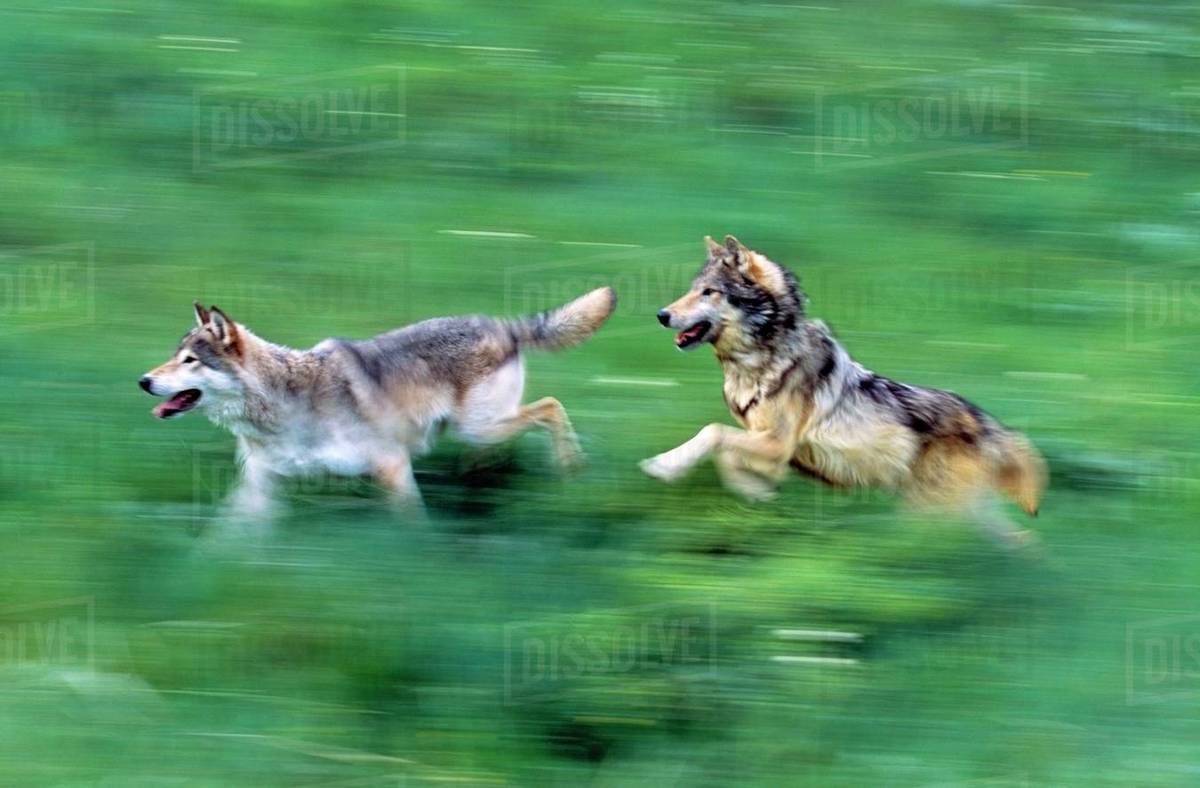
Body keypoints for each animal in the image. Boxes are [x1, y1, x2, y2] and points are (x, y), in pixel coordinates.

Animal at [139, 288, 616, 519]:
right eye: (174, 355)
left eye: (190, 360)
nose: (143, 381)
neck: (282, 401)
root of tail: (503, 324)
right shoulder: (261, 485)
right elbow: (226, 537)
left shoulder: (391, 465)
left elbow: (413, 523)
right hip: (477, 430)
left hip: (481, 426)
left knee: (551, 406)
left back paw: (572, 470)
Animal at [640, 235, 1046, 546]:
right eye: (690, 290)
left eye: (709, 292)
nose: (661, 315)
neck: (762, 360)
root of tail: (989, 424)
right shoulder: (770, 447)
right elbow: (728, 453)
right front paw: (757, 492)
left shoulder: (777, 443)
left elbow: (712, 433)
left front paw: (666, 465)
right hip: (956, 510)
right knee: (1021, 541)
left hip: (933, 510)